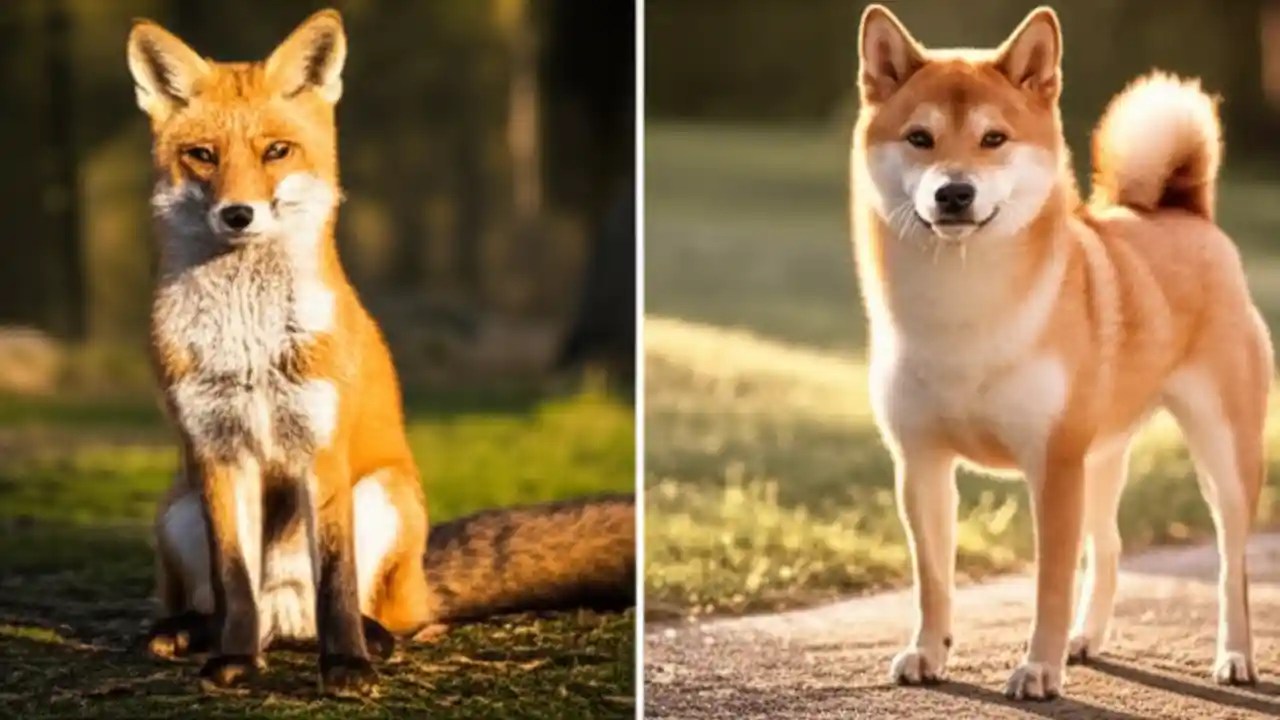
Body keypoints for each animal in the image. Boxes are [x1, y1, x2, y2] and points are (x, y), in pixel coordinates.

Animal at [126, 9, 634, 696]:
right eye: (202, 156)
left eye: (276, 151)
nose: (238, 214)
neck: (251, 342)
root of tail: (286, 622)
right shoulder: (217, 451)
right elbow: (234, 582)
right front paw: (232, 661)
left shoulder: (321, 448)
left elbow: (336, 583)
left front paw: (346, 664)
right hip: (176, 509)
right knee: (232, 603)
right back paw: (192, 632)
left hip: (382, 494)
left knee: (375, 613)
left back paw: (373, 641)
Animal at [852, 5, 1269, 700]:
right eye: (919, 138)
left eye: (994, 139)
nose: (954, 193)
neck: (963, 311)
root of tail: (1187, 214)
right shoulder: (921, 463)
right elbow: (933, 581)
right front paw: (928, 652)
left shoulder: (1053, 464)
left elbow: (1050, 583)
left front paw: (1039, 668)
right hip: (1100, 457)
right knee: (1111, 547)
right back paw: (1086, 639)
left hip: (1223, 455)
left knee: (1231, 566)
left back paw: (1234, 656)